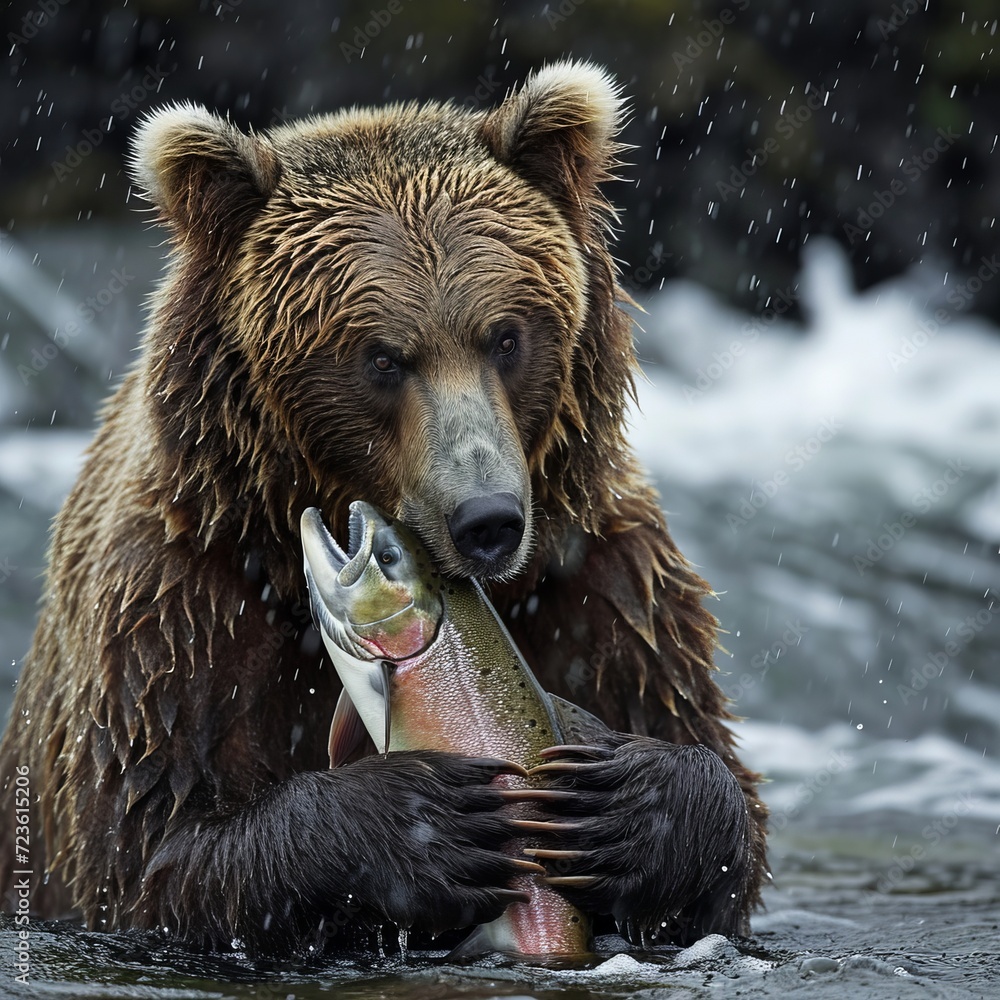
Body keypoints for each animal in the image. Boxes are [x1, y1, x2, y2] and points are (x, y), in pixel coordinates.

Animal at [0, 61, 767, 956]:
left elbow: (715, 798)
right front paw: (422, 820)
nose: (487, 519)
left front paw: (626, 807)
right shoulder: (174, 610)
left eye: (507, 335)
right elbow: (151, 847)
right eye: (381, 358)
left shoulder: (604, 585)